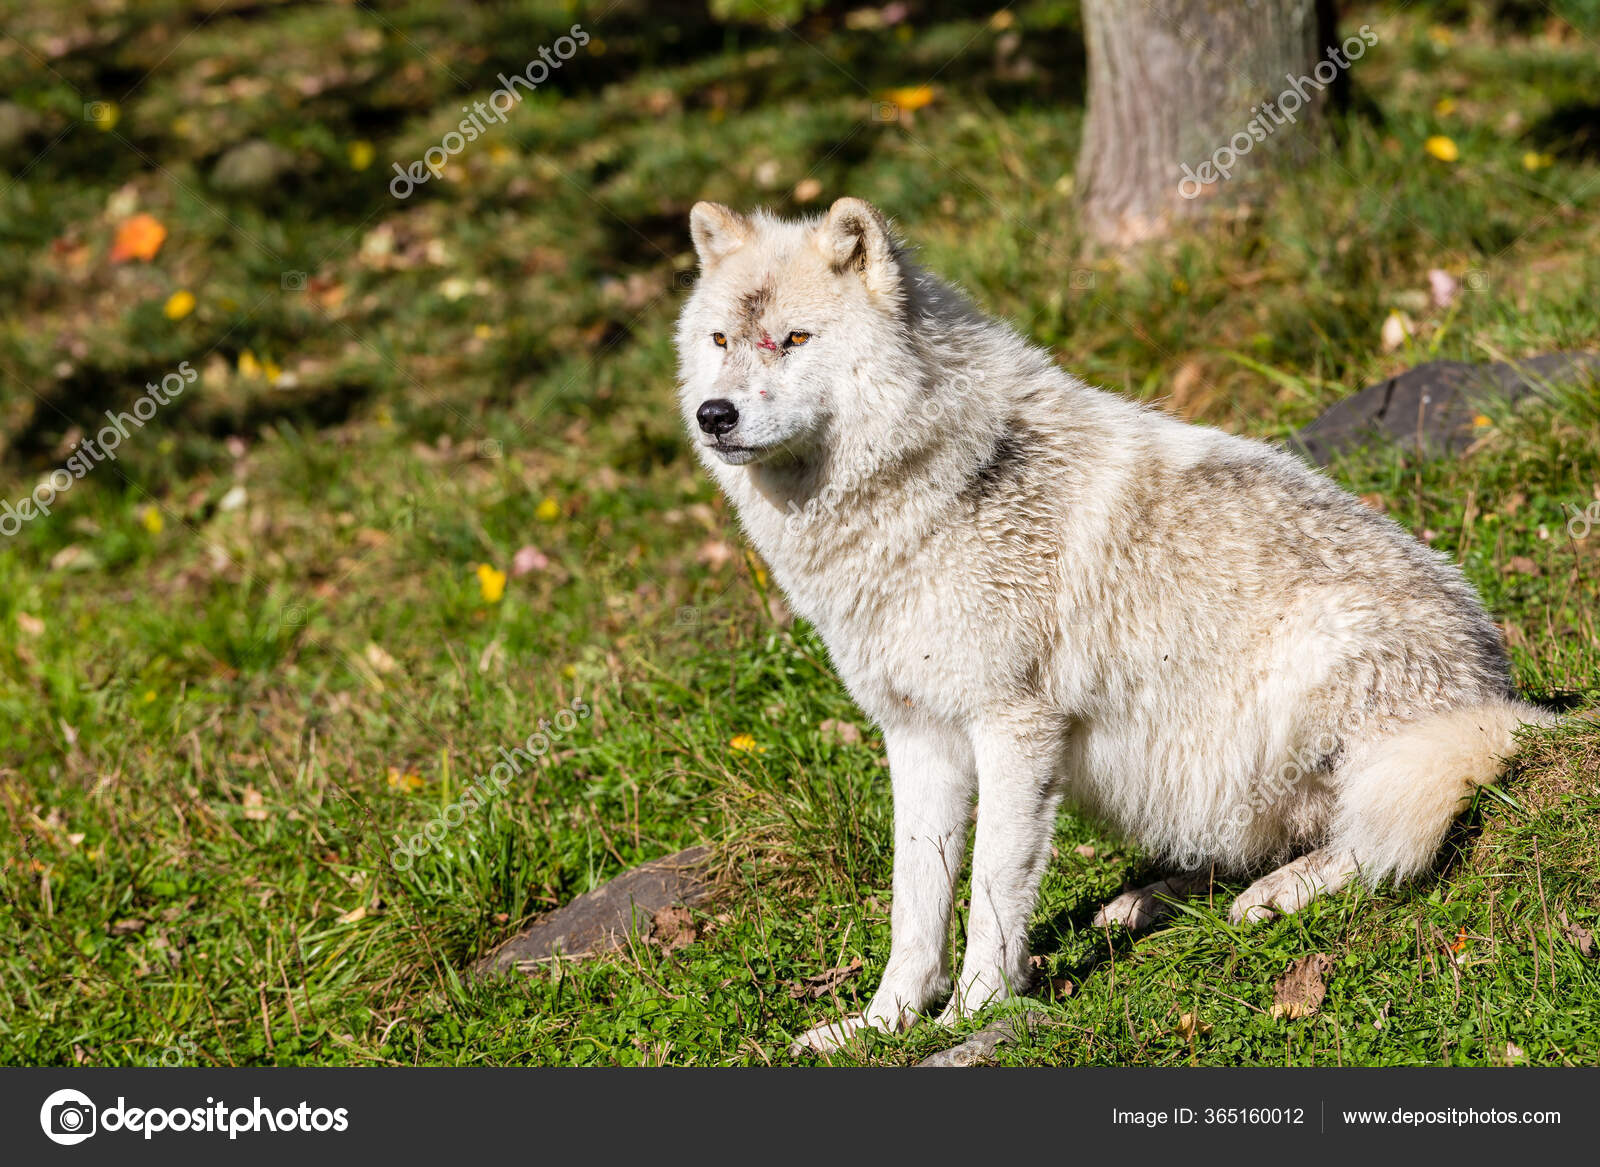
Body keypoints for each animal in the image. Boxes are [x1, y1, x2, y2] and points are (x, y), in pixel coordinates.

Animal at [674, 197, 1555, 1053]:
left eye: (794, 338)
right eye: (720, 340)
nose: (713, 415)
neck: (927, 489)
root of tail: (1502, 698)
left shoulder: (1014, 726)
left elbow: (992, 887)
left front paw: (973, 1011)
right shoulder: (917, 735)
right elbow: (913, 904)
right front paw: (881, 1023)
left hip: (1314, 680)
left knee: (1371, 833)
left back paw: (1272, 895)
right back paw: (1147, 899)